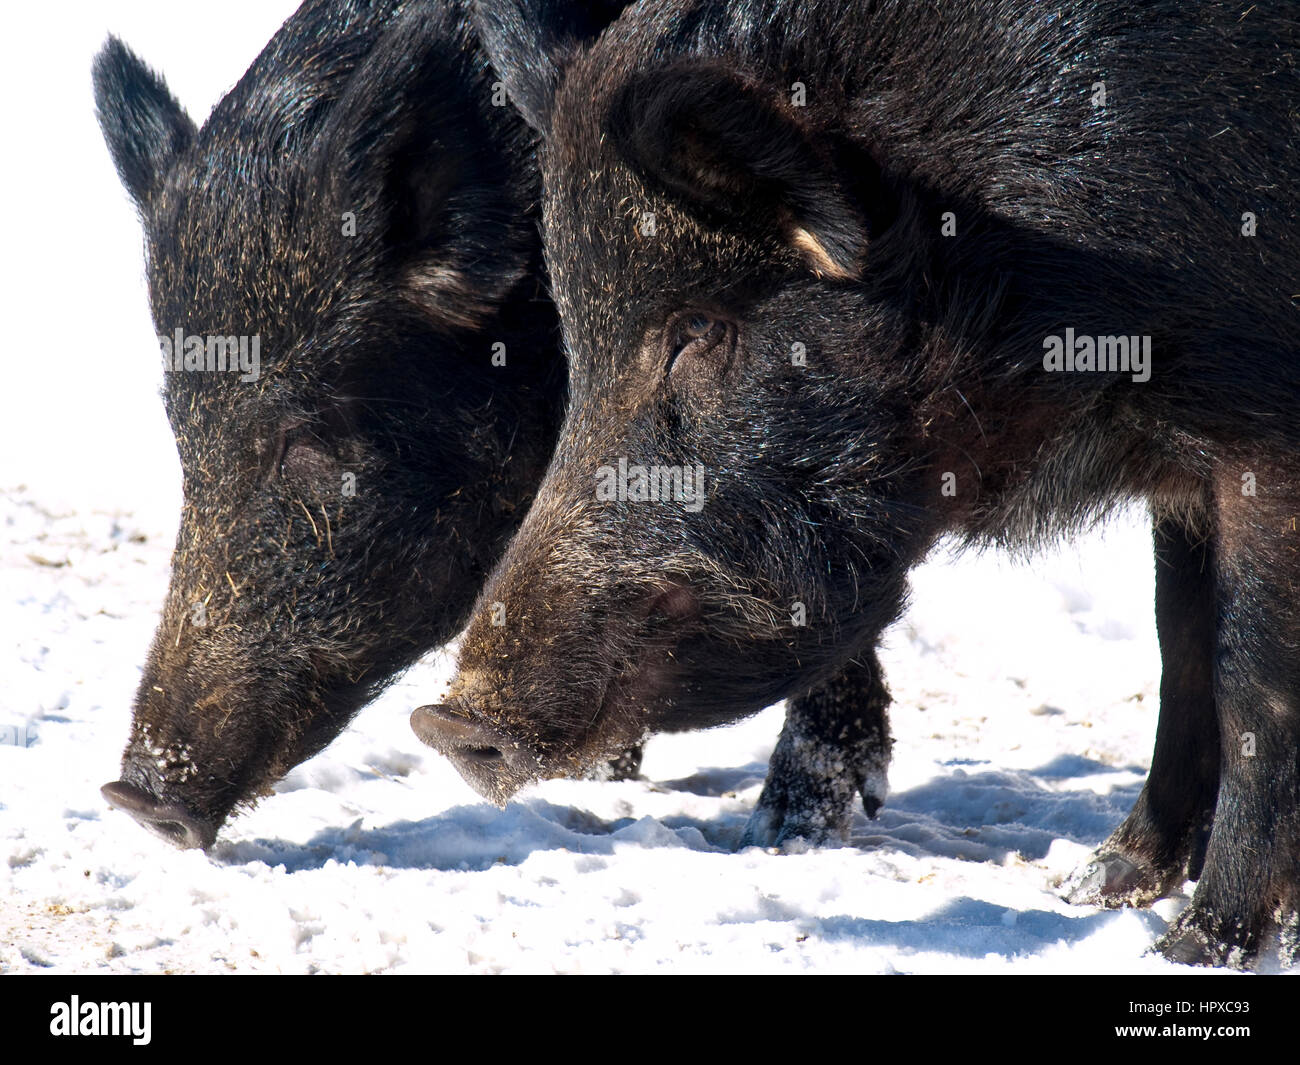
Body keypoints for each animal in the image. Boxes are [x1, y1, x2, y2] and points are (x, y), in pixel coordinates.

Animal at [413, 0, 1300, 967]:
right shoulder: (1182, 466)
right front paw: (1095, 886)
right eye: (577, 339)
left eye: (696, 331)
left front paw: (1190, 944)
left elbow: (1248, 678)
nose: (444, 723)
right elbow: (1180, 644)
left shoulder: (1261, 435)